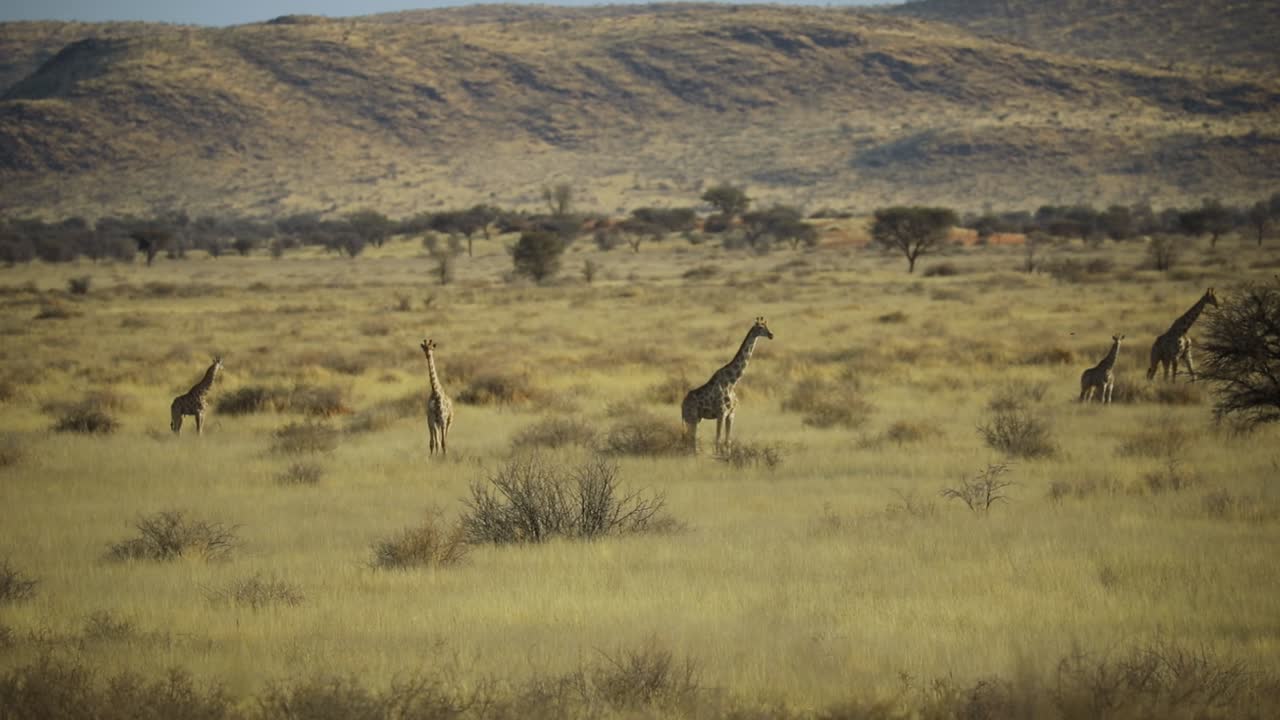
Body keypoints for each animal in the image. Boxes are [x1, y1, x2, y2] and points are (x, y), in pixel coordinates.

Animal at [681, 317, 774, 453]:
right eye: (761, 327)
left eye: (767, 326)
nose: (771, 335)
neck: (732, 382)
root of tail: (682, 405)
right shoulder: (721, 413)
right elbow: (718, 439)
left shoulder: (731, 414)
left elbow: (727, 441)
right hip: (692, 417)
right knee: (690, 440)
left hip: (696, 419)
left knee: (690, 440)